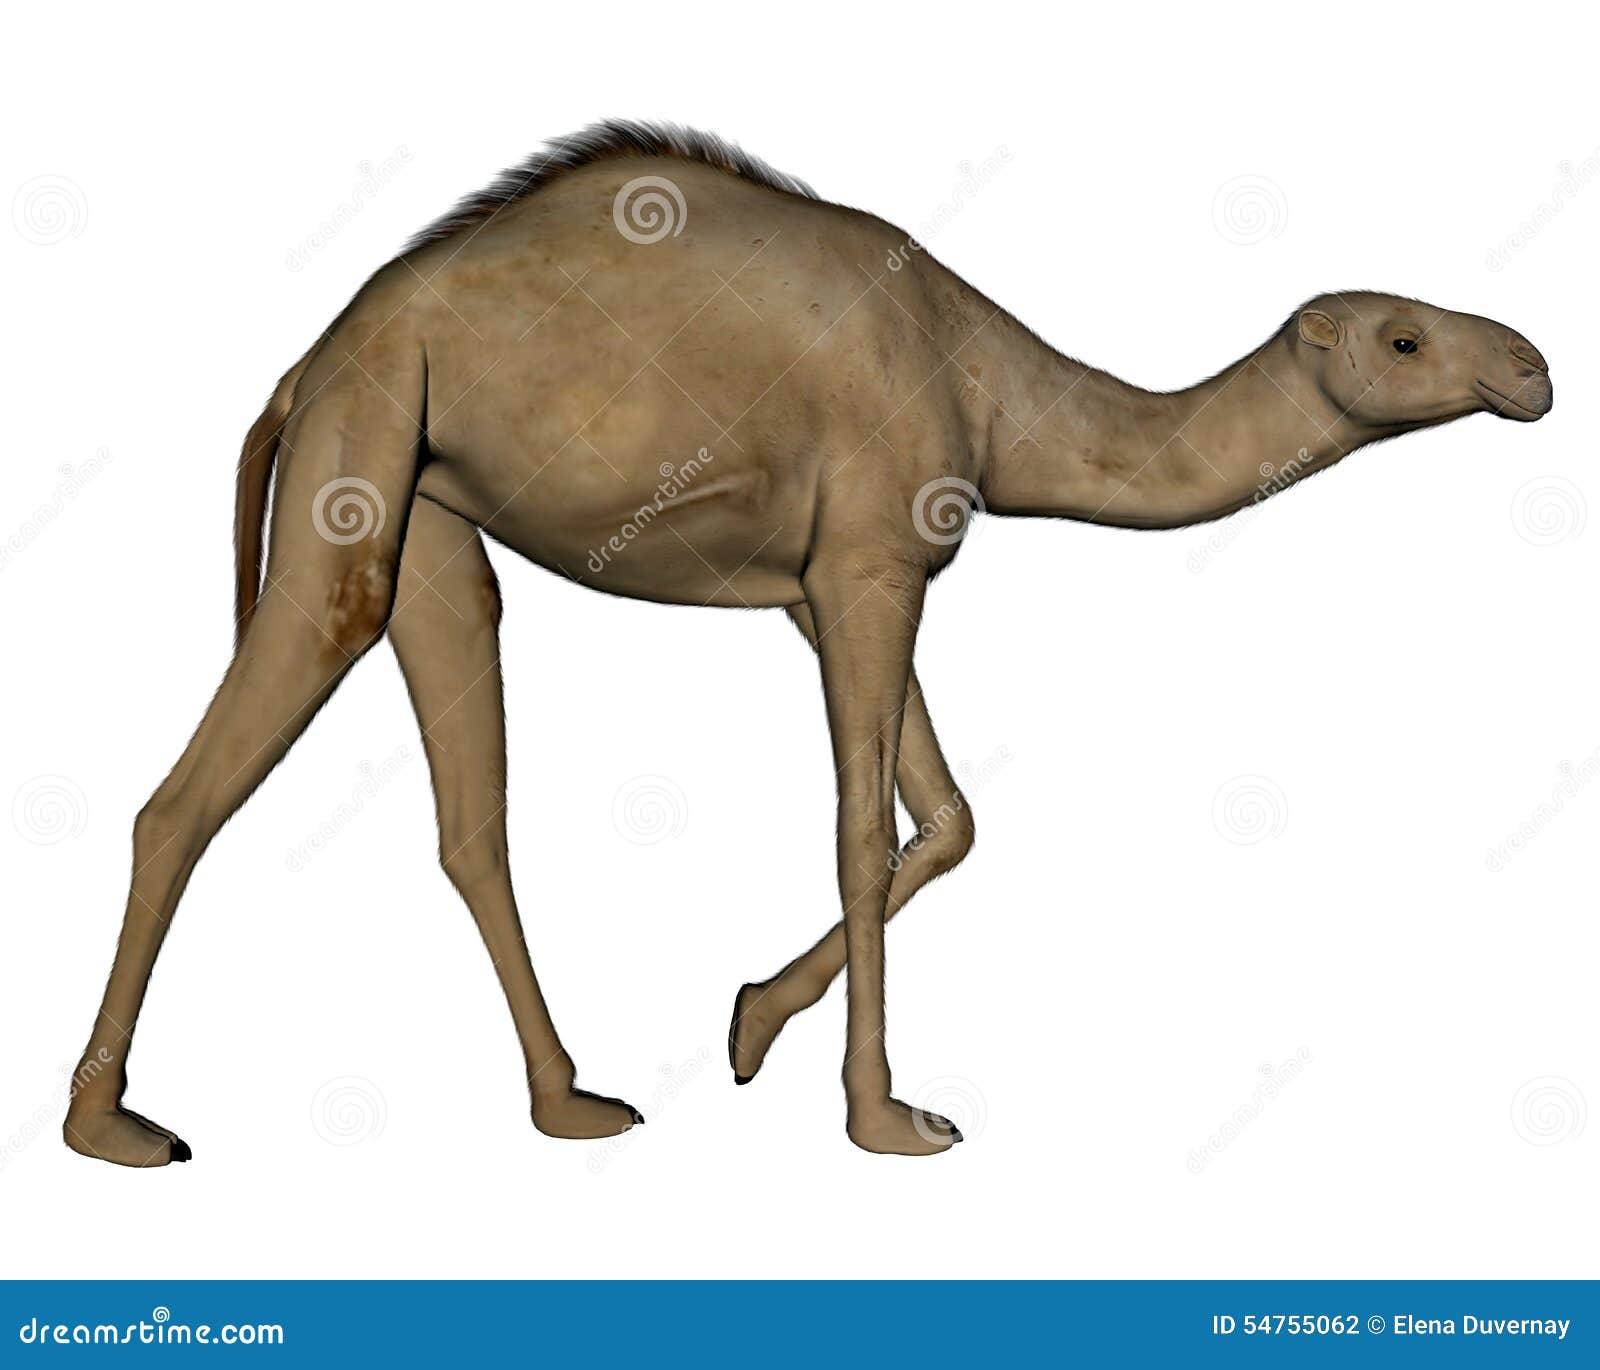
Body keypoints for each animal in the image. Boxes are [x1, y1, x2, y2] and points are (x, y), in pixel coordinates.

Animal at [65, 121, 1553, 1165]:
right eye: (1404, 337)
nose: (1531, 366)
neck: (989, 385)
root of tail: (305, 364)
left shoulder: (822, 578)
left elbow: (945, 818)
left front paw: (743, 1026)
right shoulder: (869, 563)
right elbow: (859, 827)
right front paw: (887, 1118)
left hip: (426, 500)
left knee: (468, 814)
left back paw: (572, 1099)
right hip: (359, 449)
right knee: (199, 777)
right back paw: (112, 1126)